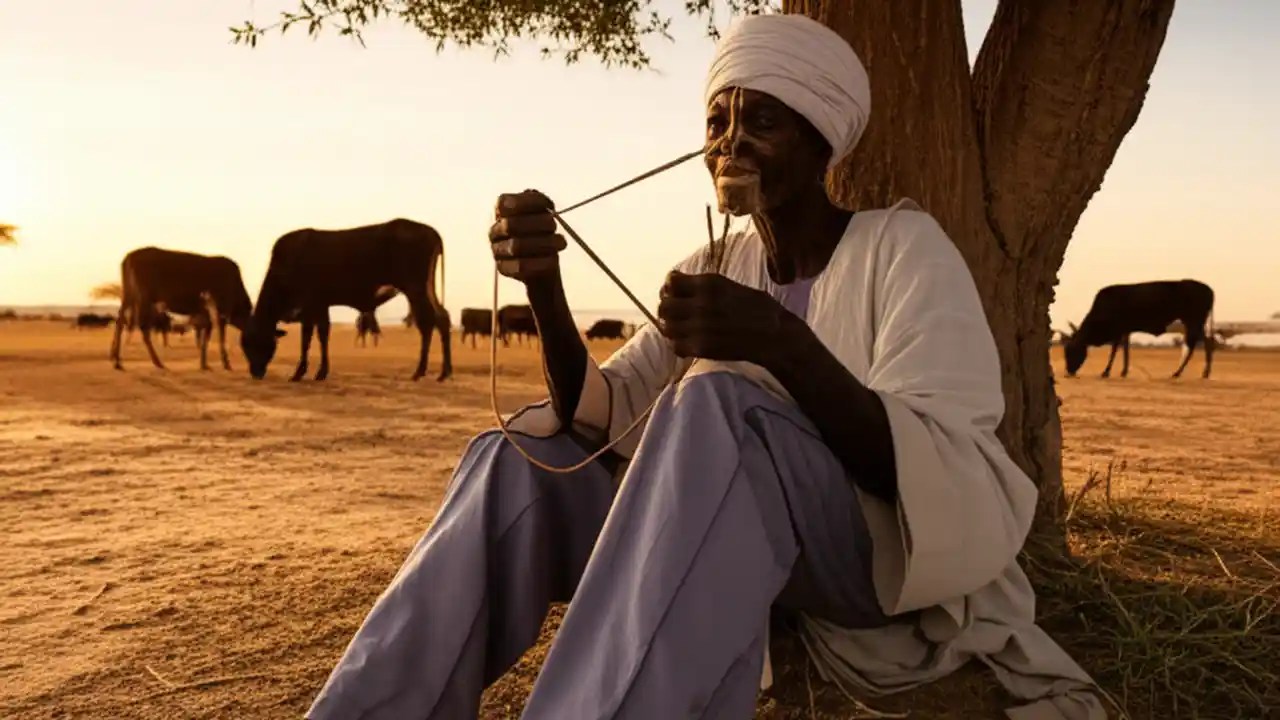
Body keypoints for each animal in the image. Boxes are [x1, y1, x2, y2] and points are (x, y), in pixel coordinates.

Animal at [110, 247, 254, 371]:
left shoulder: (206, 313)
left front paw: (204, 364)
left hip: (129, 294)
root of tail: (128, 257)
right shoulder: (220, 310)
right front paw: (225, 363)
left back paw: (117, 361)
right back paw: (157, 362)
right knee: (143, 328)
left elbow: (205, 338)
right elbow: (219, 336)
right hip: (144, 296)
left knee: (120, 320)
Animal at [240, 218, 452, 382]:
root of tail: (431, 231)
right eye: (244, 345)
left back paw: (420, 371)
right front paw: (317, 371)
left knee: (427, 322)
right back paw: (444, 372)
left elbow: (311, 337)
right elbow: (319, 335)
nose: (255, 373)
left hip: (415, 288)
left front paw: (305, 372)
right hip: (425, 288)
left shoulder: (311, 305)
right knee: (442, 318)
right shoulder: (319, 306)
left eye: (253, 342)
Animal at [1059, 279, 1215, 380]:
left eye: (1071, 351)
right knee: (1204, 342)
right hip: (1195, 324)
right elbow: (1125, 349)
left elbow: (1115, 350)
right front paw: (1123, 371)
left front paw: (1106, 372)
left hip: (1193, 322)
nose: (1068, 372)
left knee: (1201, 343)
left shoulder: (1118, 330)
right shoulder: (1125, 330)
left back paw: (1185, 373)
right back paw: (1196, 372)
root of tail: (1209, 290)